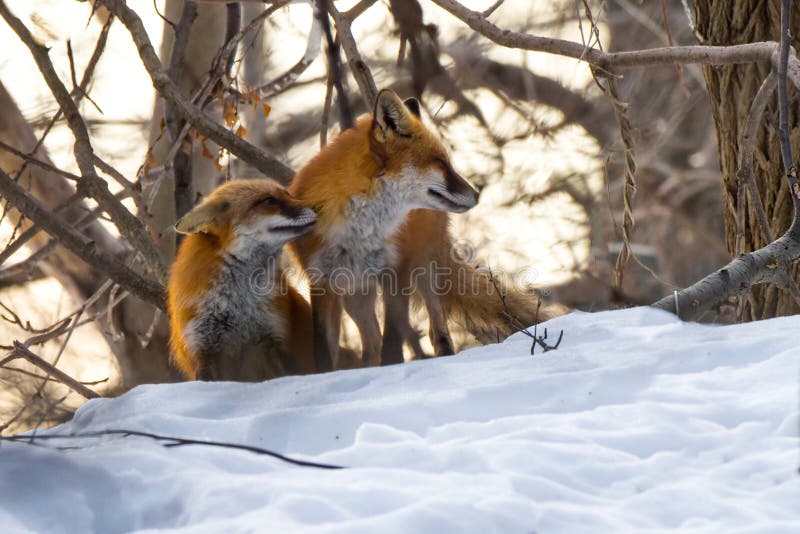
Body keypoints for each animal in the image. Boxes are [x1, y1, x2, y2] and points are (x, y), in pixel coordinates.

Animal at [167, 179, 319, 381]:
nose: (318, 205)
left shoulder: (274, 337)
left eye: (288, 194)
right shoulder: (202, 347)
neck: (239, 302)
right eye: (269, 201)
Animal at [288, 88, 547, 370]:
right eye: (441, 162)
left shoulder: (395, 273)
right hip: (355, 294)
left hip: (425, 272)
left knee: (438, 334)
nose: (477, 195)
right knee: (371, 346)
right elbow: (324, 355)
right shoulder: (321, 281)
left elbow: (393, 344)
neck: (359, 230)